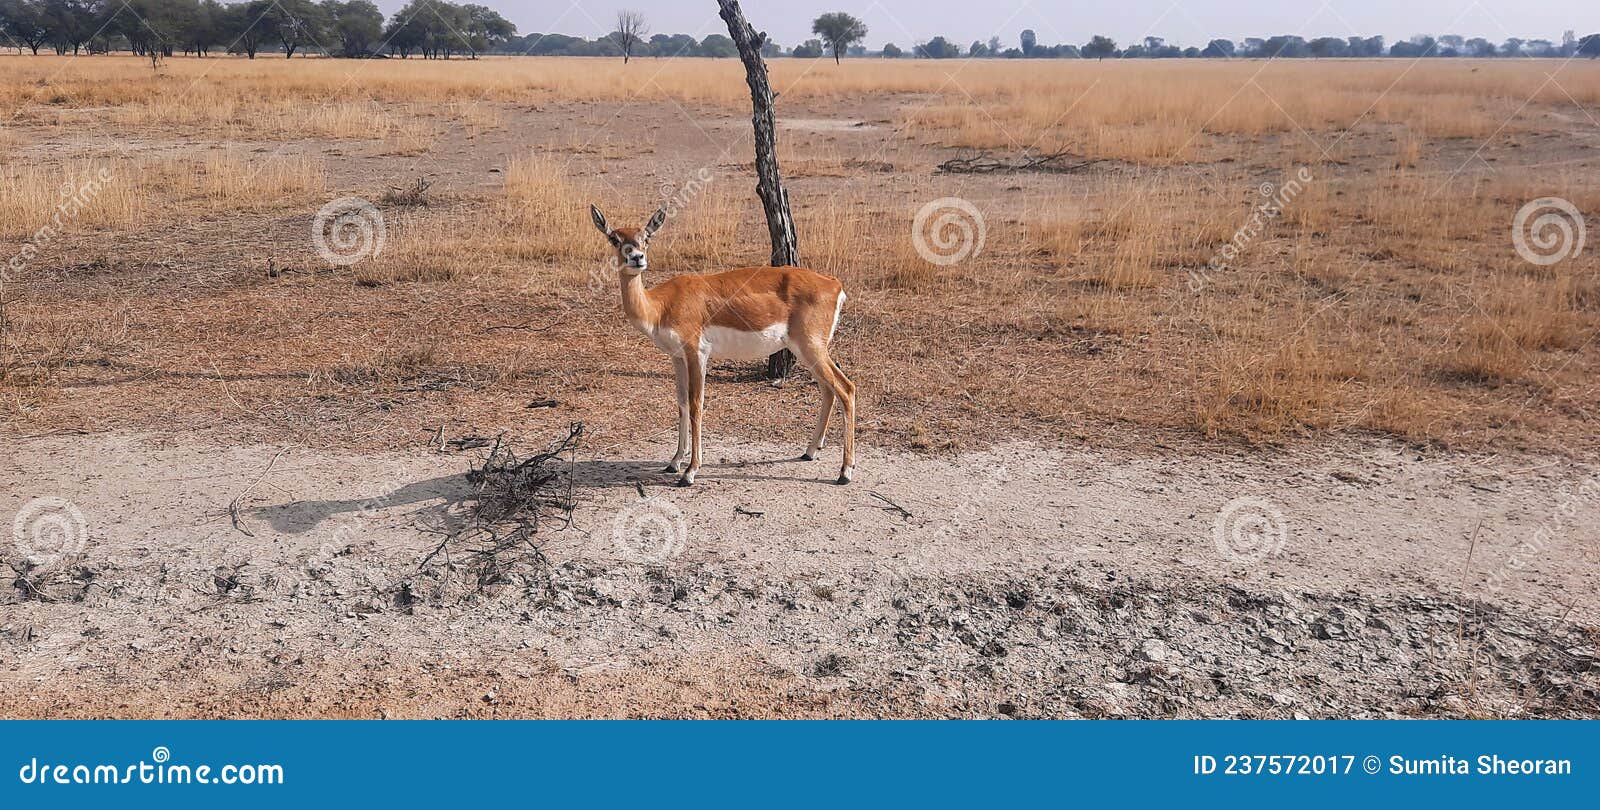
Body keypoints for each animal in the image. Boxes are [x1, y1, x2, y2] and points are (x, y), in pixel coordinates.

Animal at [589, 203, 856, 487]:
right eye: (614, 238)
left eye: (646, 237)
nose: (637, 258)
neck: (661, 305)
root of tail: (834, 284)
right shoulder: (677, 357)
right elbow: (682, 403)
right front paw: (673, 463)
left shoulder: (697, 353)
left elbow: (696, 404)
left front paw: (690, 472)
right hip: (804, 351)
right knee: (828, 390)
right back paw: (810, 452)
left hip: (811, 347)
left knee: (846, 388)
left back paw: (845, 472)